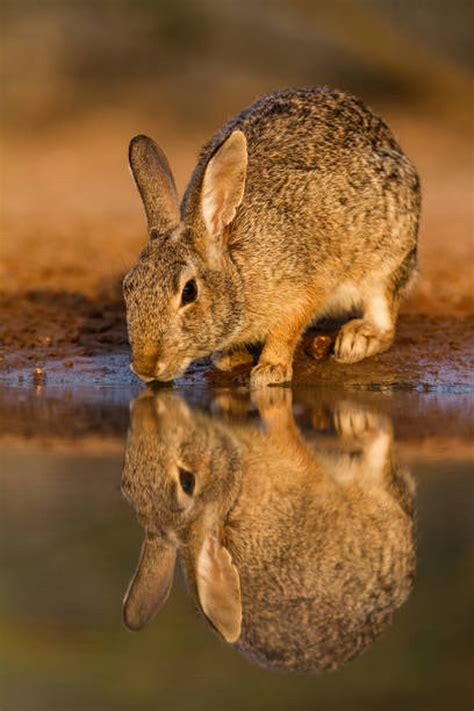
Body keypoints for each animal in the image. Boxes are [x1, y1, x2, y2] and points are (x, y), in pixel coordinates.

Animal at [123, 87, 421, 387]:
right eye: (128, 287)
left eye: (189, 292)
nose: (145, 367)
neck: (239, 272)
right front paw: (229, 357)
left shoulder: (303, 287)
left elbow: (287, 329)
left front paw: (270, 370)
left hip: (388, 257)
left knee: (384, 318)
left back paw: (357, 340)